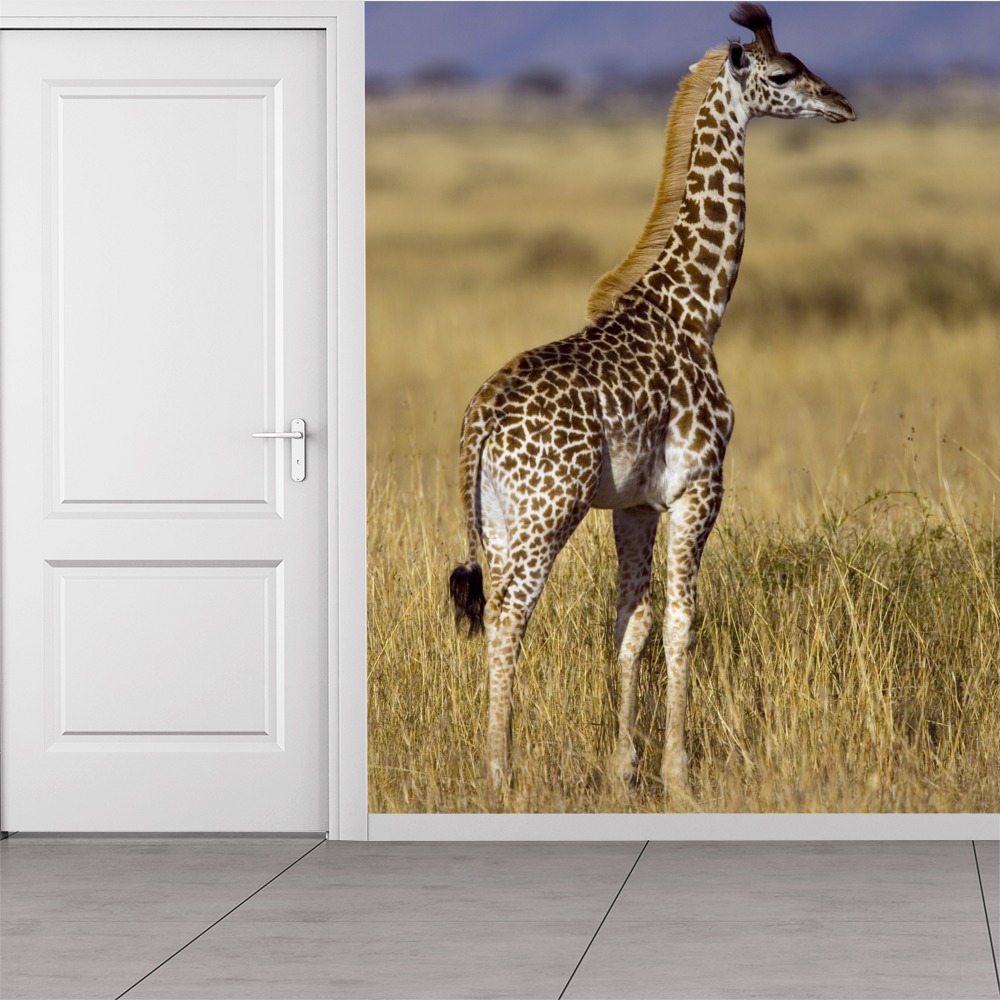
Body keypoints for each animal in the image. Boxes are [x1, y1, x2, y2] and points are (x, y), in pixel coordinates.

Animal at [449, 3, 855, 797]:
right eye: (783, 73)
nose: (842, 104)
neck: (696, 309)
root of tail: (480, 419)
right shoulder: (701, 485)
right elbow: (681, 622)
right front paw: (678, 773)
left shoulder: (634, 504)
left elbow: (629, 625)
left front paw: (623, 768)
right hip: (548, 511)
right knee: (510, 616)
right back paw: (498, 773)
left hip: (501, 519)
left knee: (498, 613)